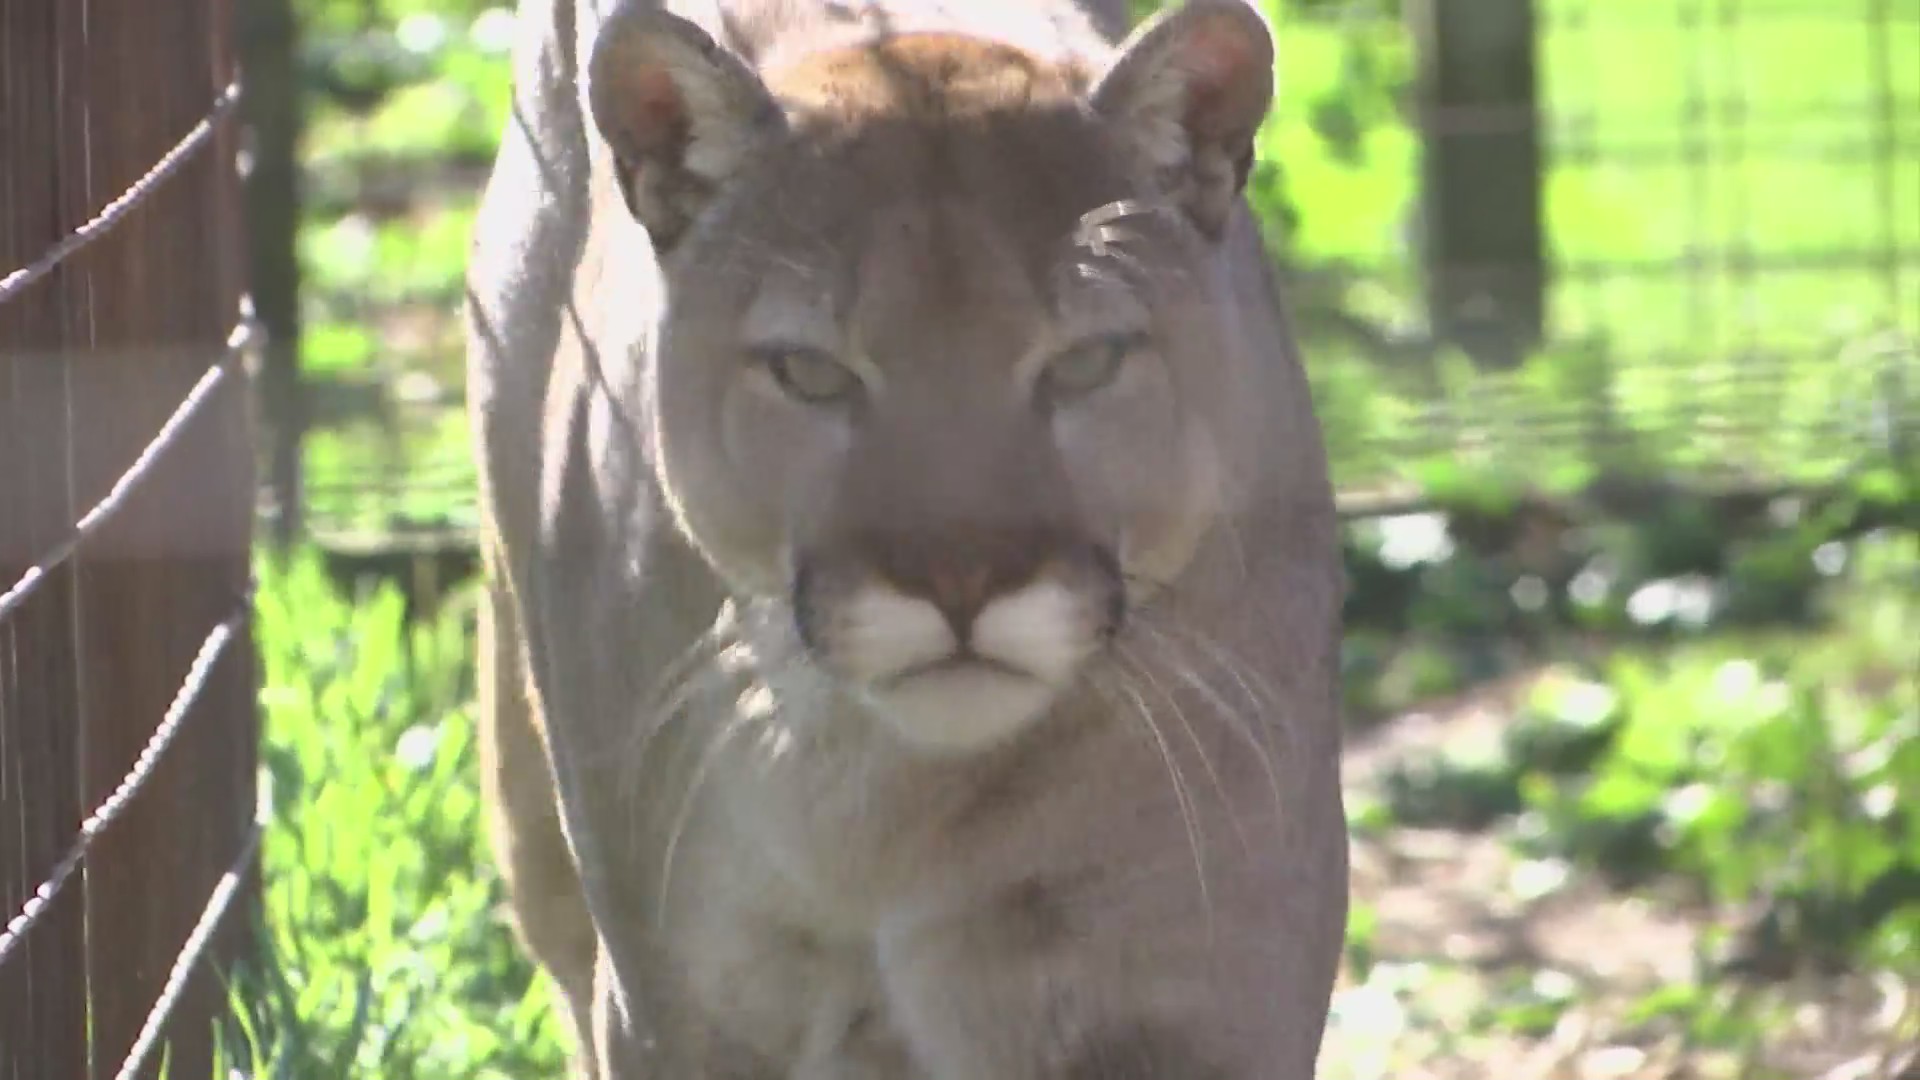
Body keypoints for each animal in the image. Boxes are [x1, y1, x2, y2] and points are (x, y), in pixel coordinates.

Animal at [463, 0, 1350, 1076]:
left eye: (1087, 362)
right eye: (810, 373)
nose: (961, 582)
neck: (895, 813)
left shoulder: (1204, 1000)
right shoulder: (673, 1008)